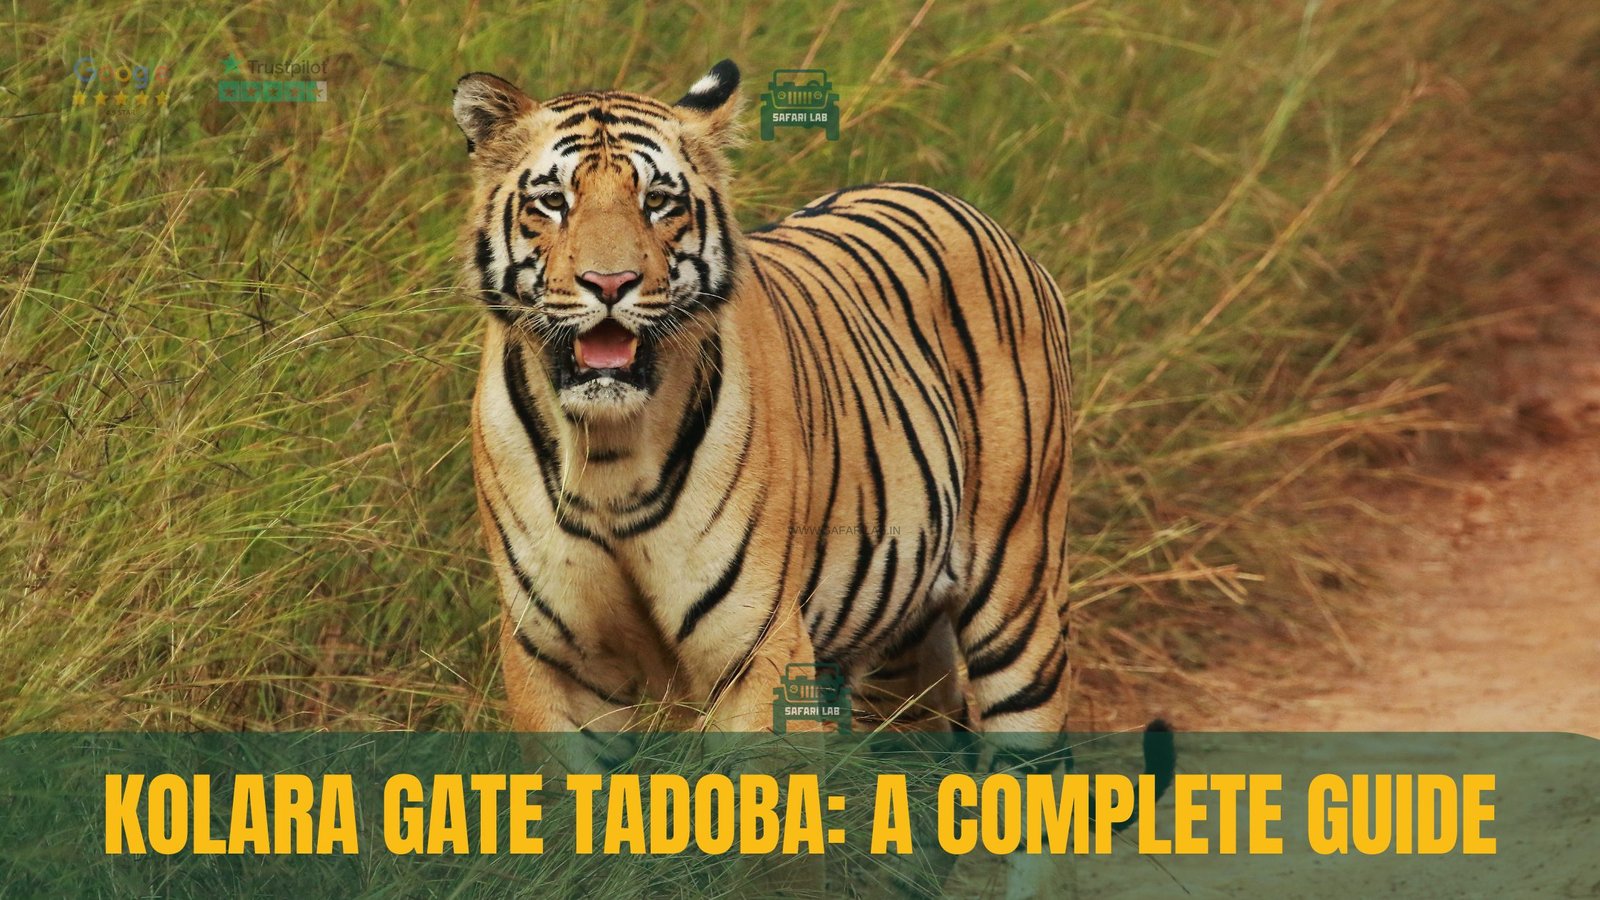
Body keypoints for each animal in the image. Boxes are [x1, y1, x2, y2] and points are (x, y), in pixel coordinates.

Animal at [452, 58, 1162, 762]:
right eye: (553, 201)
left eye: (657, 203)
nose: (609, 283)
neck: (609, 448)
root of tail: (960, 206)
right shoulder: (556, 663)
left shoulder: (757, 650)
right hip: (902, 654)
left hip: (1021, 600)